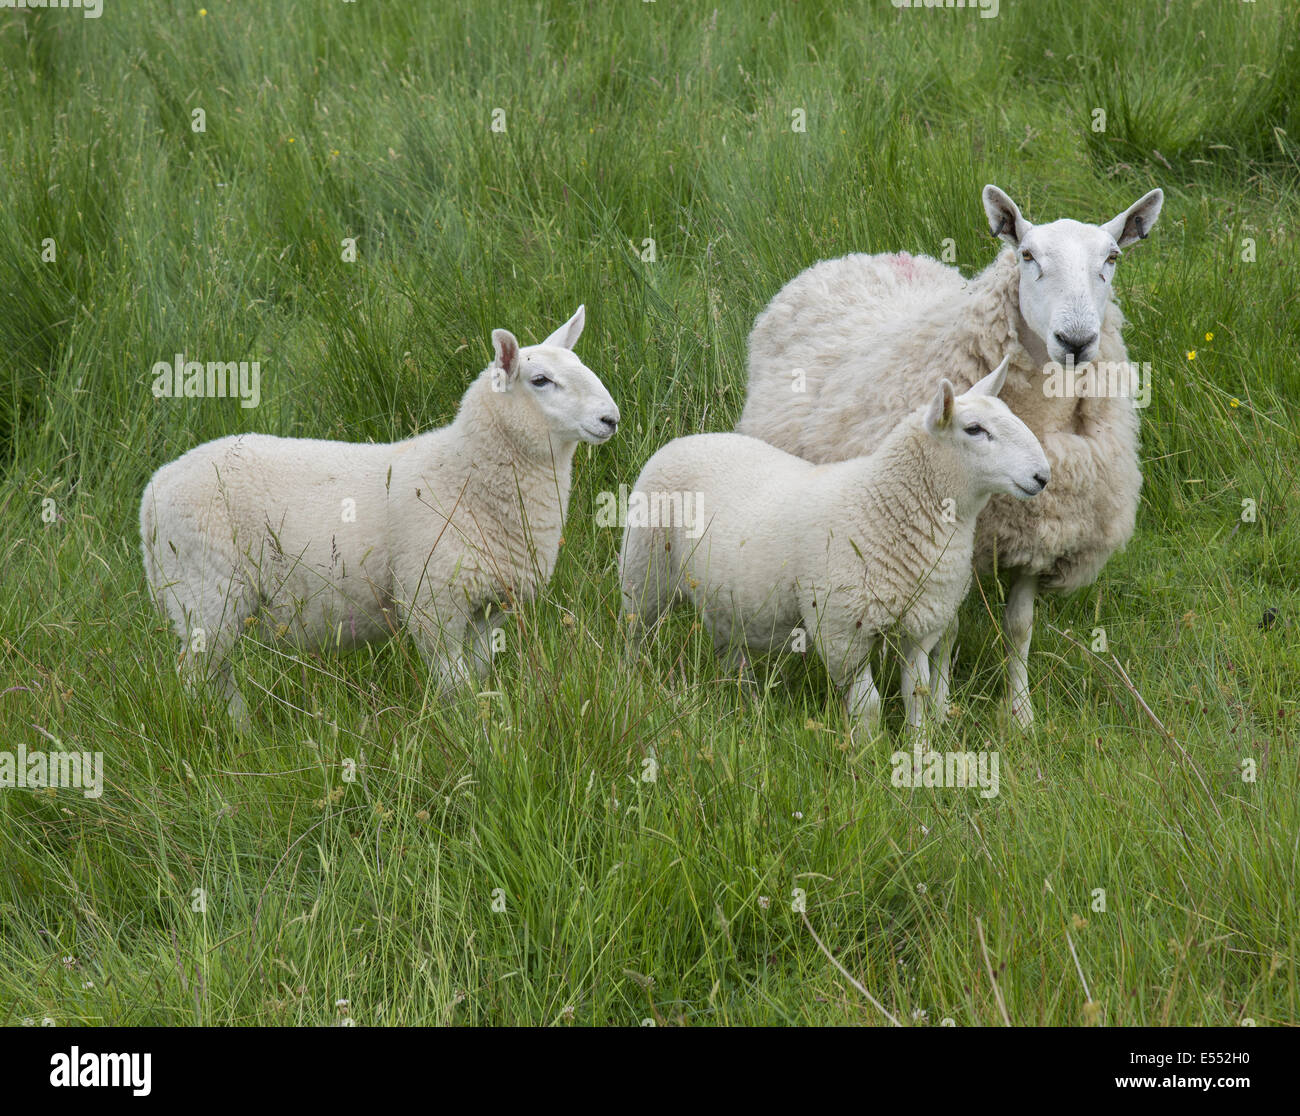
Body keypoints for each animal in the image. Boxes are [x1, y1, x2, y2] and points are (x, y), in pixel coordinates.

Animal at [140, 306, 619, 727]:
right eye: (541, 380)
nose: (611, 418)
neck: (464, 473)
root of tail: (155, 488)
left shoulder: (491, 608)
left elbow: (477, 679)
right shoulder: (432, 602)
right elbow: (455, 687)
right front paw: (470, 738)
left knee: (217, 677)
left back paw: (244, 733)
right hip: (206, 589)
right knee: (196, 677)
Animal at [620, 358, 1049, 733]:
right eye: (974, 429)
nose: (1043, 476)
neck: (886, 506)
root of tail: (686, 439)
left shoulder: (921, 627)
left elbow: (917, 695)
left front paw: (920, 751)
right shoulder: (842, 631)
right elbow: (868, 705)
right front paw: (868, 756)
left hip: (723, 596)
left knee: (730, 650)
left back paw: (744, 702)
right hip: (642, 572)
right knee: (635, 636)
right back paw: (631, 685)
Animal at [737, 184, 1162, 728]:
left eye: (1112, 258)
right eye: (1027, 256)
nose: (1076, 340)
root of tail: (865, 257)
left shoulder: (1039, 532)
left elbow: (1019, 627)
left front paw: (1020, 715)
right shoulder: (952, 539)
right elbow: (948, 631)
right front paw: (940, 709)